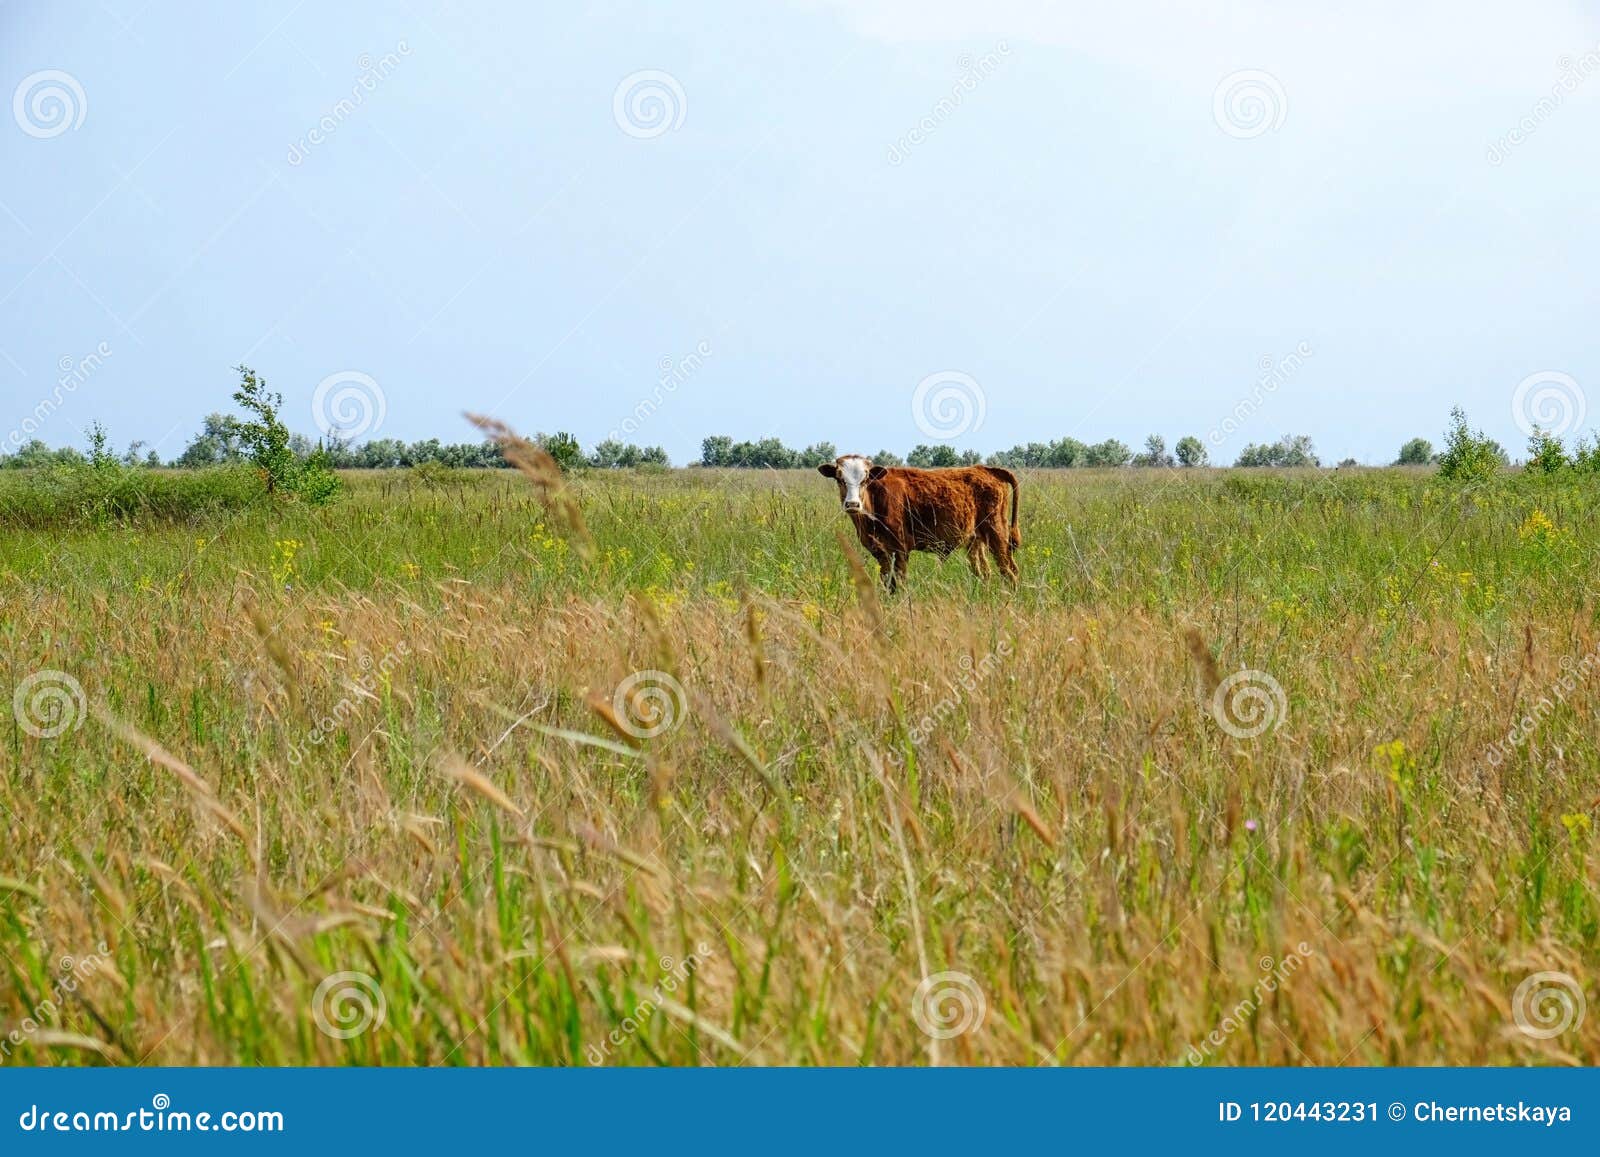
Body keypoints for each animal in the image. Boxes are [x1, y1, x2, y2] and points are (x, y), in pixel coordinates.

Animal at [816, 454, 1020, 591]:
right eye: (839, 478)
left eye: (866, 479)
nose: (852, 504)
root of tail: (984, 469)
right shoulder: (881, 552)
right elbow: (887, 583)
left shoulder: (900, 550)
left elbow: (899, 582)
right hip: (976, 540)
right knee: (984, 572)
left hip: (997, 533)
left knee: (1009, 570)